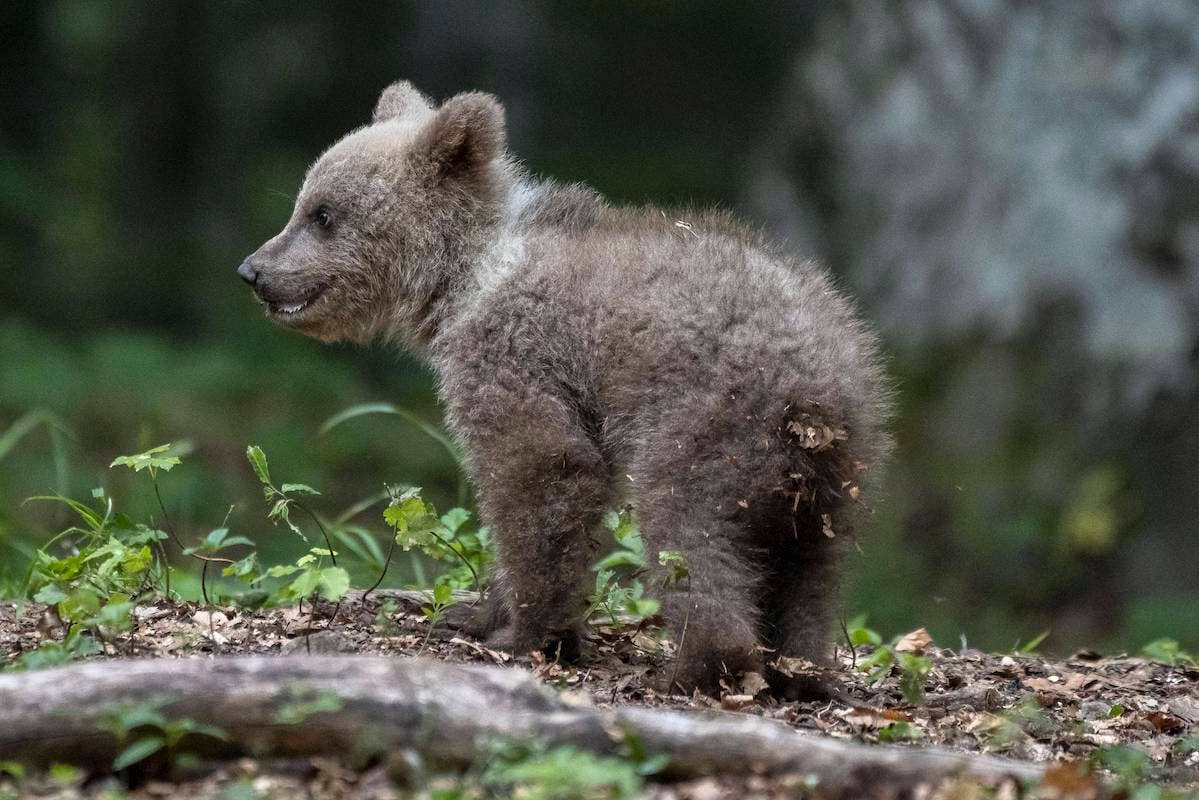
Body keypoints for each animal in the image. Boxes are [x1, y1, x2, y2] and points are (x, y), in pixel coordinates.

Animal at [237, 81, 891, 696]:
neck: (461, 280)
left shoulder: (516, 355)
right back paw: (800, 668)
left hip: (707, 419)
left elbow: (540, 472)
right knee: (810, 565)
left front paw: (528, 632)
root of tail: (815, 380)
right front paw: (475, 614)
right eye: (302, 202)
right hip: (839, 466)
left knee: (687, 529)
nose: (252, 270)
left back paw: (696, 667)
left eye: (323, 214)